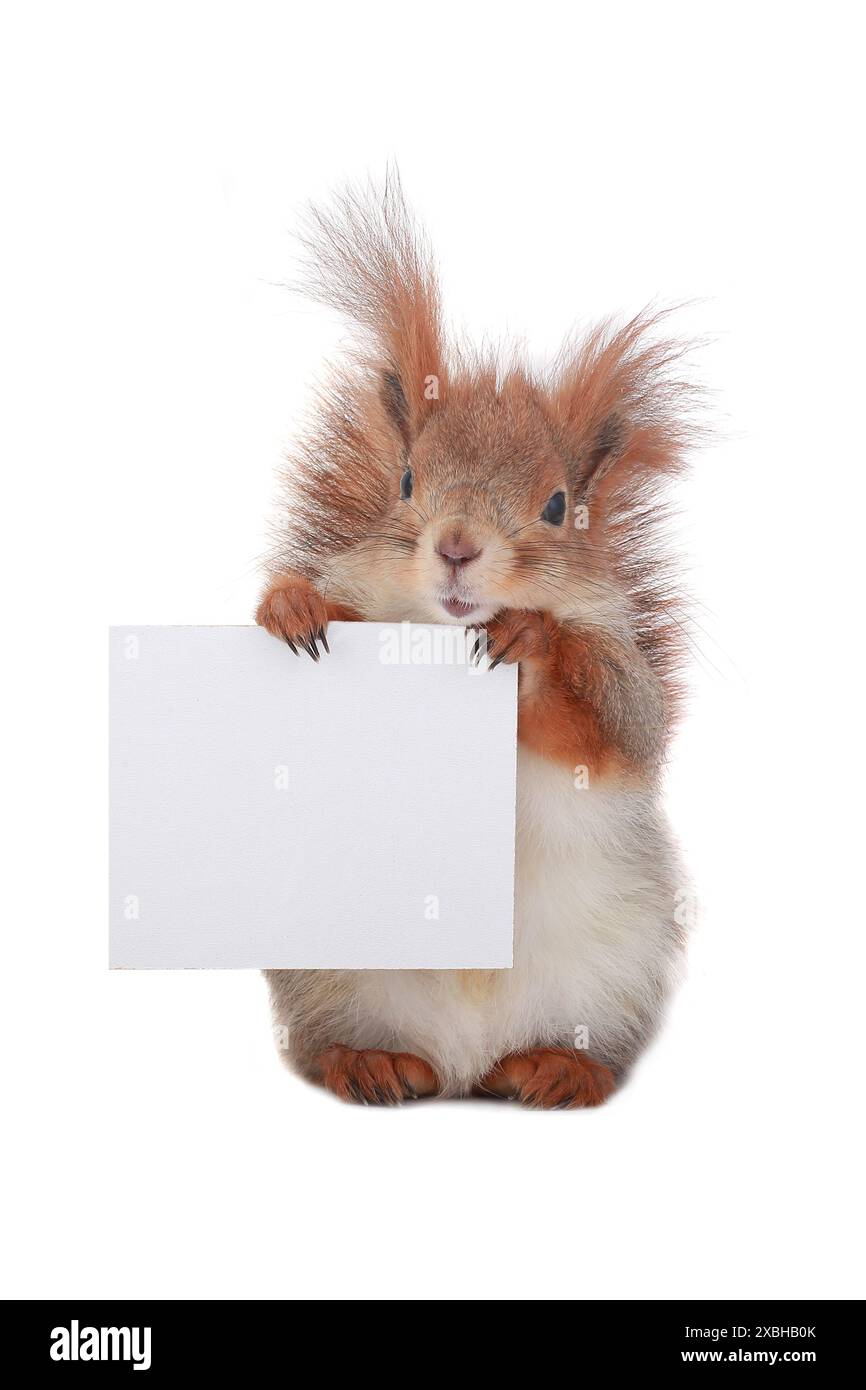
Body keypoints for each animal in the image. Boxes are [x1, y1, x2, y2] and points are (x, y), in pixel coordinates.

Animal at [257, 177, 700, 1108]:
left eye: (560, 506)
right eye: (405, 481)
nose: (457, 546)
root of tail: (461, 1062)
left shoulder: (621, 669)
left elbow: (617, 727)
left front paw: (530, 641)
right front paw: (290, 602)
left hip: (617, 974)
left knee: (580, 1046)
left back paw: (556, 1066)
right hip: (324, 974)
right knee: (328, 1046)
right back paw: (370, 1061)